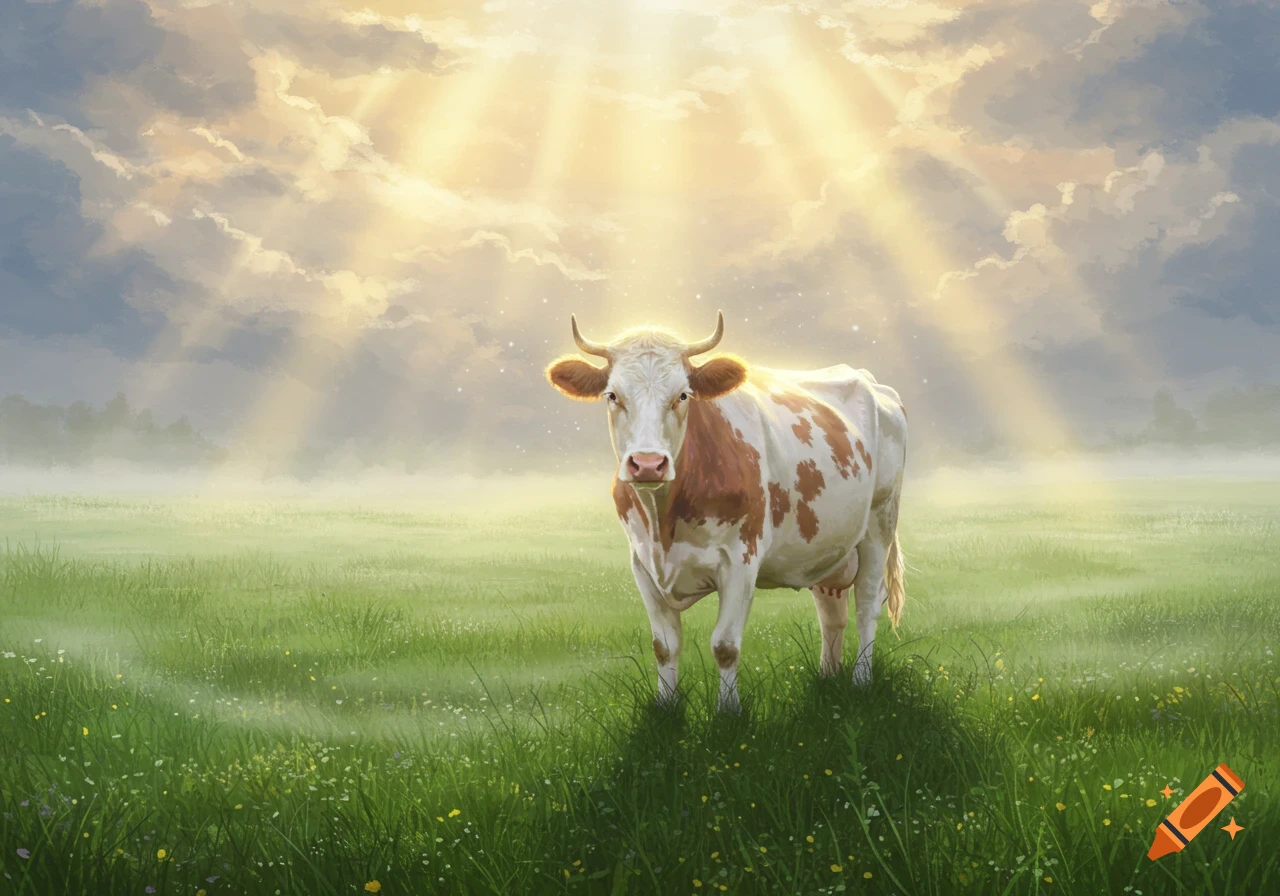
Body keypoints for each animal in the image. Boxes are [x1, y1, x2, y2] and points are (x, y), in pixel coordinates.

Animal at [545, 311, 907, 712]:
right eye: (612, 395)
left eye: (683, 395)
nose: (648, 464)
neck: (664, 523)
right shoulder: (642, 564)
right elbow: (663, 646)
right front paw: (666, 708)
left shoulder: (741, 561)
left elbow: (725, 646)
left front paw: (728, 711)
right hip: (828, 548)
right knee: (832, 615)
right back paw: (828, 679)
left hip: (879, 524)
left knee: (867, 604)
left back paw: (860, 681)